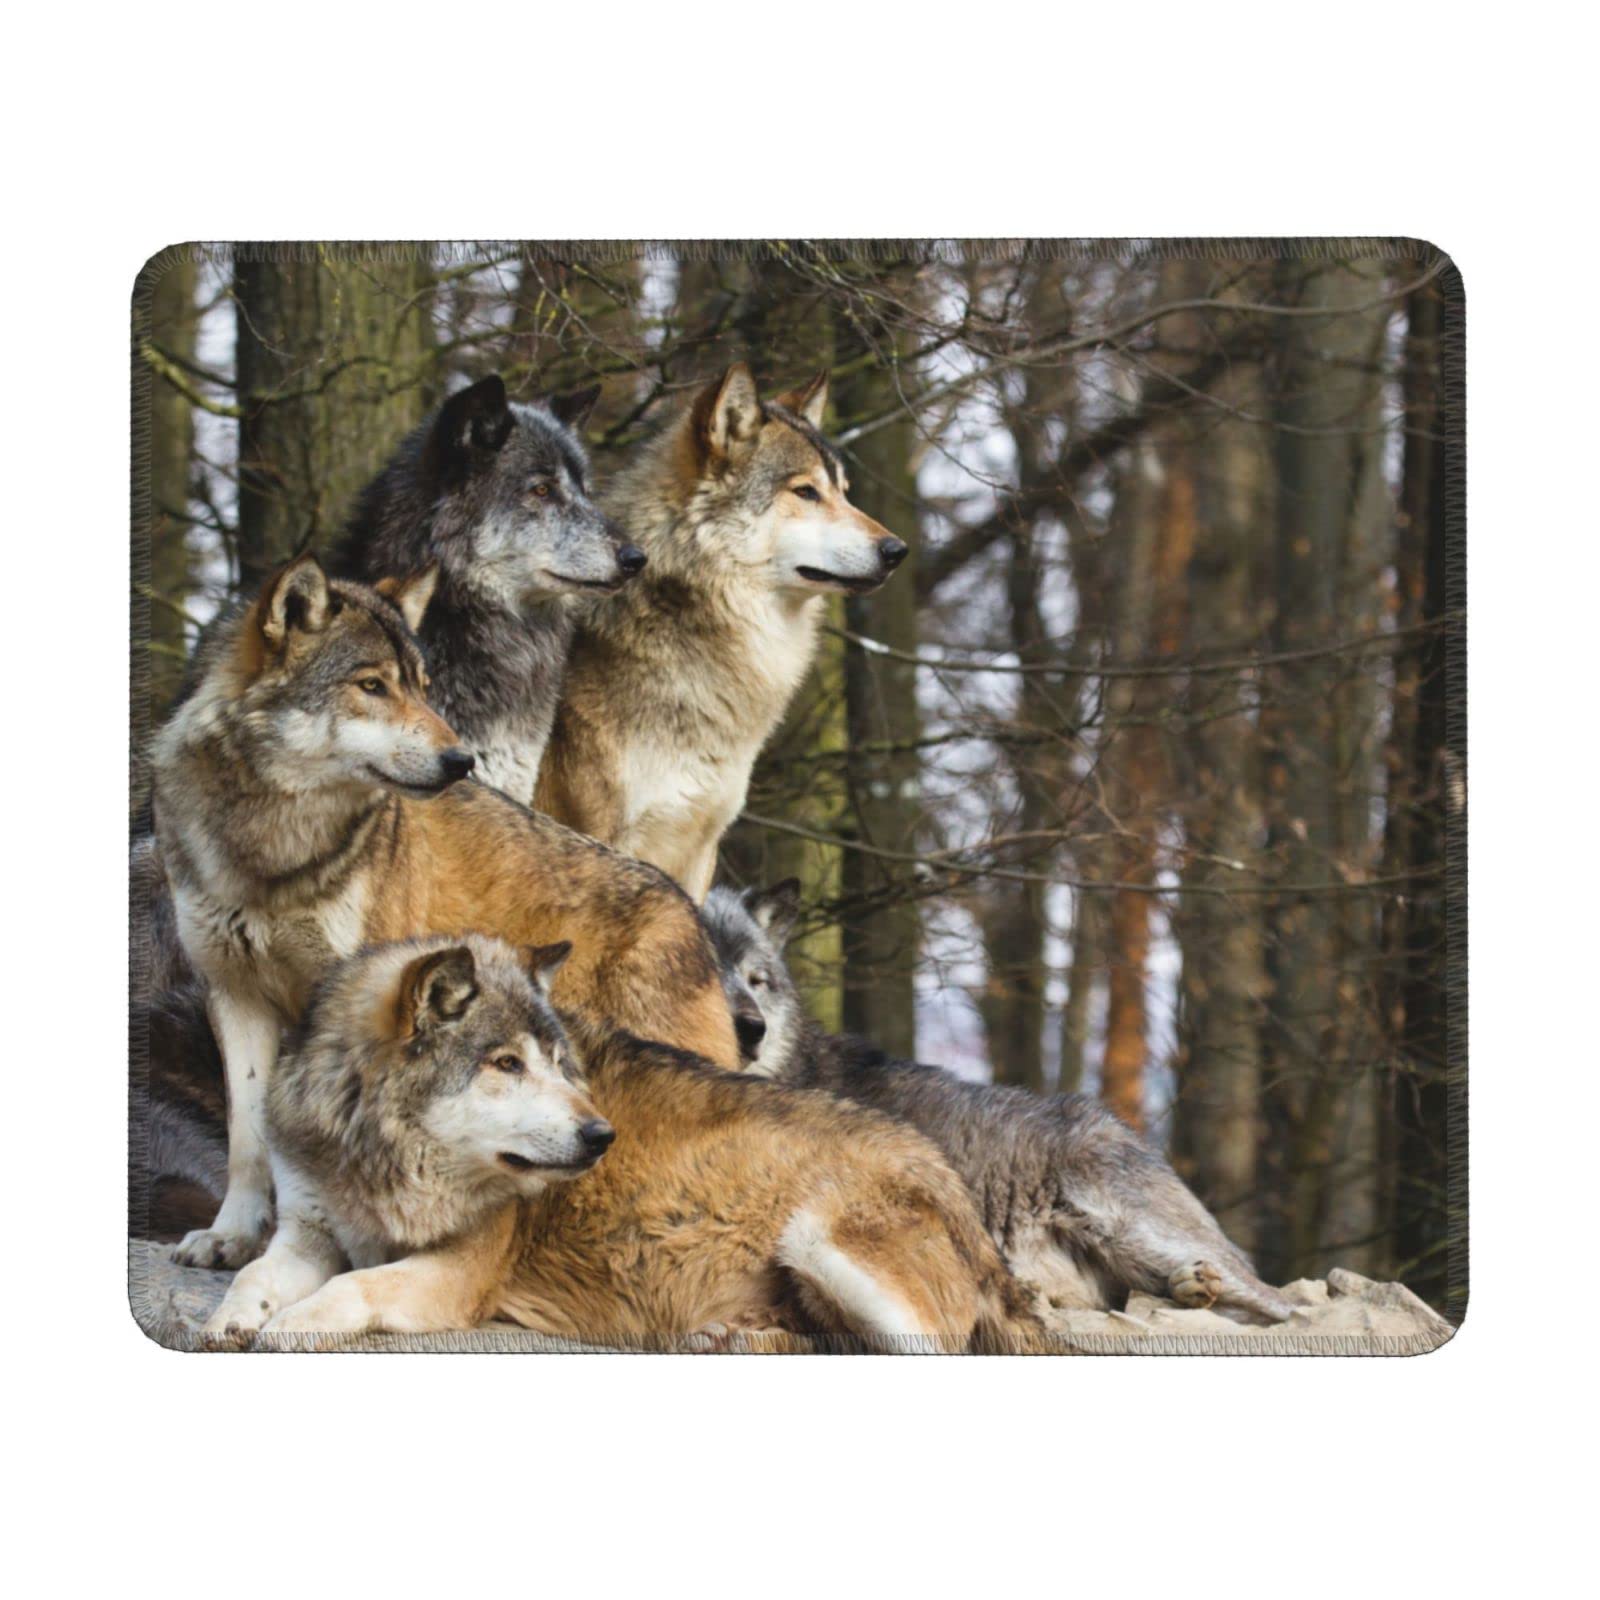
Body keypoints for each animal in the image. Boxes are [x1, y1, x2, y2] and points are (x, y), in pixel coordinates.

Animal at [153, 553, 738, 1271]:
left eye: (423, 687)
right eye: (372, 685)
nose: (462, 760)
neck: (274, 850)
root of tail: (688, 906)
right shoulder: (234, 995)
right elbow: (247, 1137)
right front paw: (231, 1237)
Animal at [206, 934, 1043, 1353]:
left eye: (561, 1063)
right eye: (506, 1064)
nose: (600, 1134)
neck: (382, 1159)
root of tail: (960, 1197)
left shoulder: (459, 1273)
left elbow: (355, 1287)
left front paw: (289, 1326)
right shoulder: (309, 1229)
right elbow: (254, 1275)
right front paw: (231, 1321)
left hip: (819, 1240)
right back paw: (731, 1336)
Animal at [703, 881, 1296, 1326]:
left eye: (757, 979)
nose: (750, 1028)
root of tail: (1122, 1129)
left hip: (1135, 1229)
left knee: (1283, 1304)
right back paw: (1184, 1289)